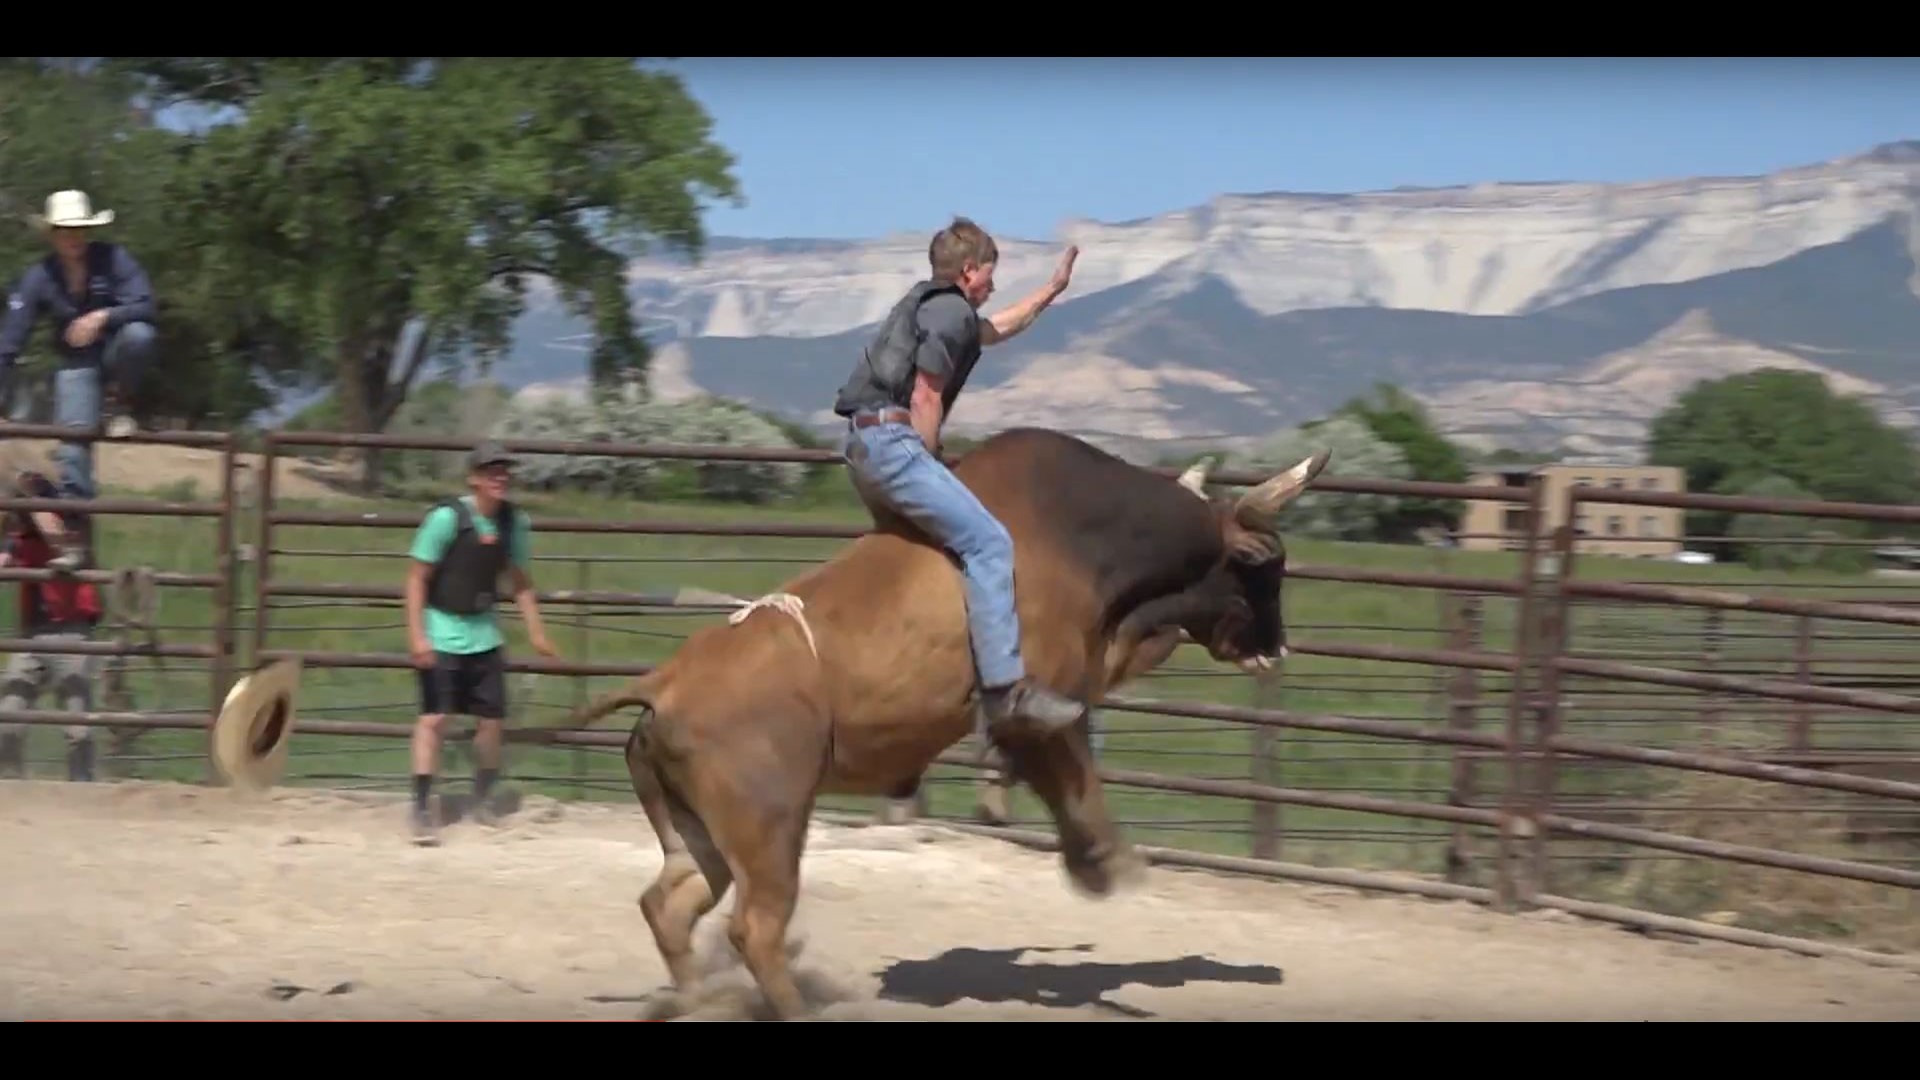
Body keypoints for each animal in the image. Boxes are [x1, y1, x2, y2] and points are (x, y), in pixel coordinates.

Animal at [565, 425, 1329, 1019]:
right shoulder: (1041, 699)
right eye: (1268, 565)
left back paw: (698, 998)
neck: (1082, 537)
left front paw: (1090, 864)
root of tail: (665, 684)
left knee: (669, 903)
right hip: (770, 826)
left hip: (699, 834)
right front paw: (1104, 865)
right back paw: (797, 1008)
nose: (1278, 646)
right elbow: (1075, 777)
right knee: (754, 927)